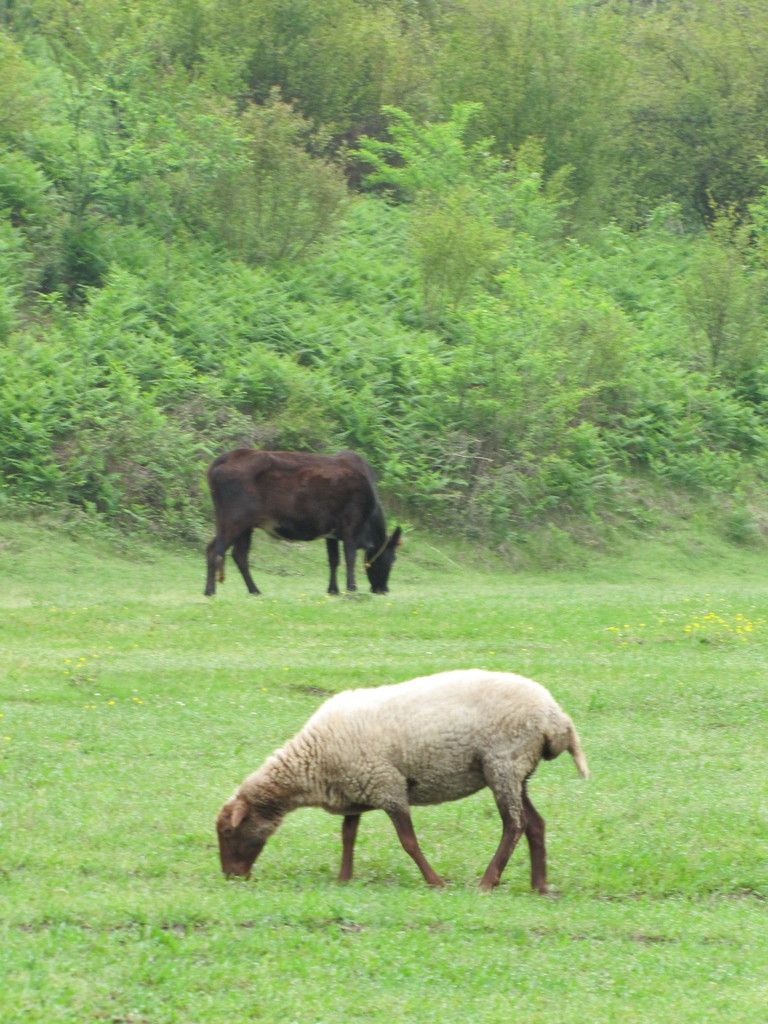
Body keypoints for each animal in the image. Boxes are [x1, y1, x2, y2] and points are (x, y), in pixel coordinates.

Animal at [215, 669, 589, 891]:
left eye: (228, 832)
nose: (231, 877)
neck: (312, 760)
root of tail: (557, 718)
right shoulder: (356, 790)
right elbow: (348, 836)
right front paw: (343, 879)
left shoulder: (388, 787)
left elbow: (408, 841)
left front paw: (435, 881)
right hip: (516, 770)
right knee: (534, 823)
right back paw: (539, 885)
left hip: (503, 762)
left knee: (514, 824)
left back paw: (488, 880)